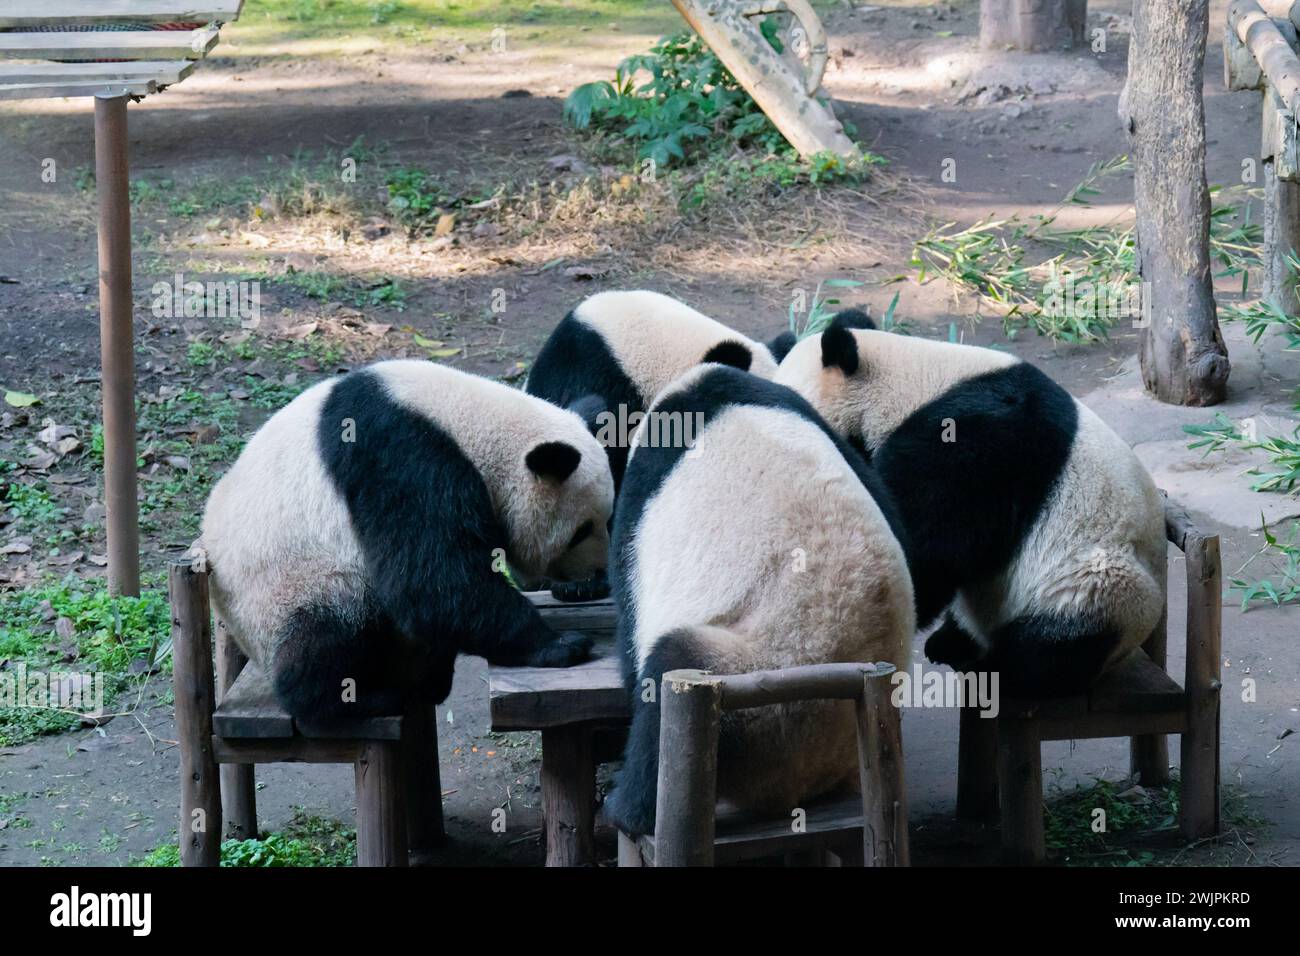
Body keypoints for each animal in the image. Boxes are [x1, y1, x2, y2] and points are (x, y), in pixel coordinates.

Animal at [200, 360, 614, 721]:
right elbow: (431, 581)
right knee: (326, 631)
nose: (597, 571)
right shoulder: (399, 455)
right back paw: (356, 698)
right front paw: (562, 645)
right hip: (290, 586)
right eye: (581, 530)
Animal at [600, 363, 914, 837]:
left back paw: (628, 807)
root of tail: (802, 780)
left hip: (753, 695)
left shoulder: (645, 485)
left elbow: (631, 606)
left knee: (668, 671)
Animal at [773, 319, 1167, 698]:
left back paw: (995, 671)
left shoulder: (973, 439)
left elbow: (928, 547)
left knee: (1055, 644)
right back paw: (950, 642)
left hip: (1098, 585)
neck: (914, 381)